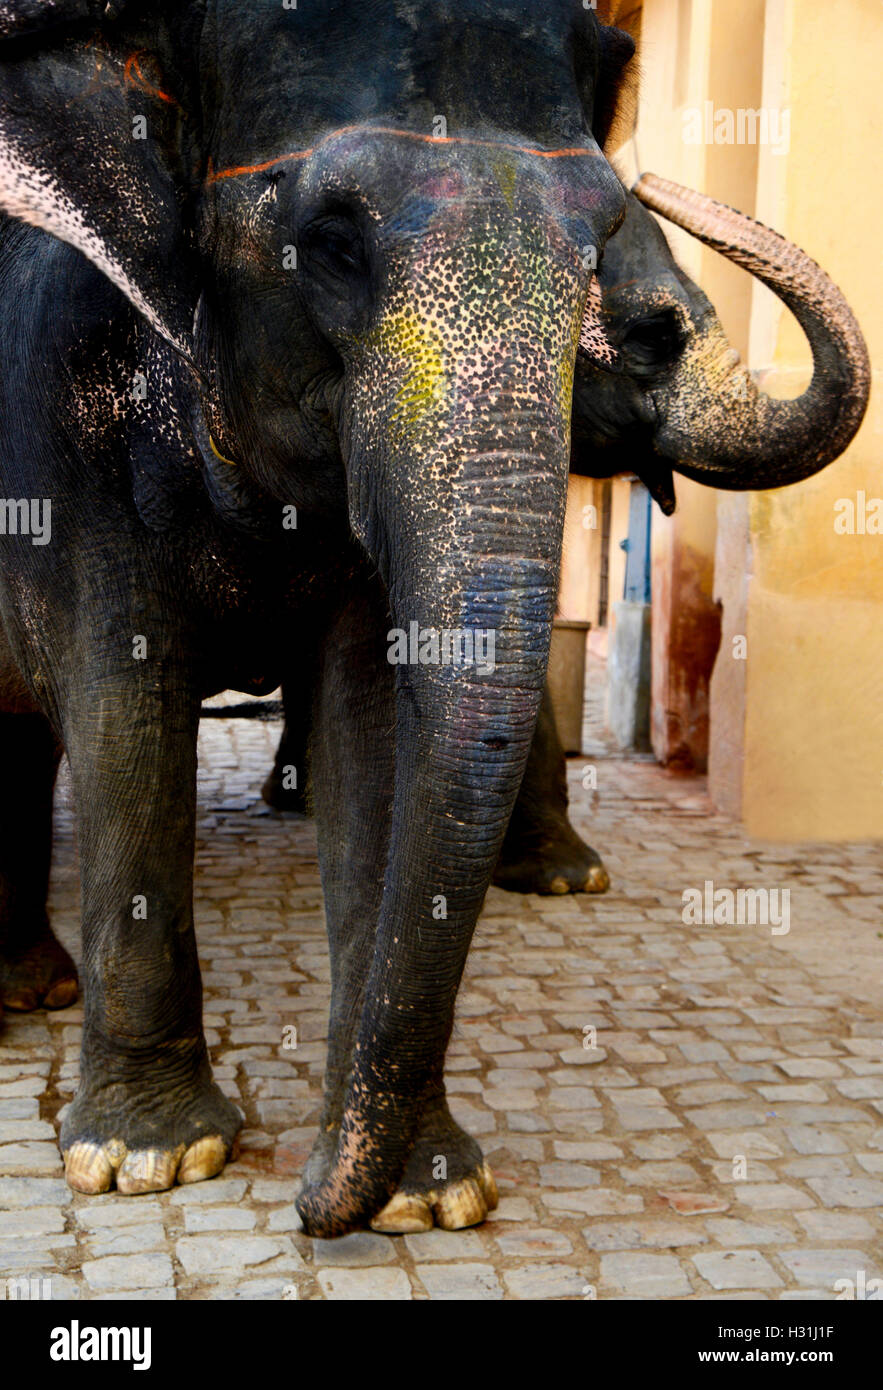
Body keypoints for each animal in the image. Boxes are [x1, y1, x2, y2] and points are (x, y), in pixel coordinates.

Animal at [0, 1, 868, 1240]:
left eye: (600, 236)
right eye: (330, 242)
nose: (310, 1204)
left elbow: (375, 719)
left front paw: (424, 1190)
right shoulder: (59, 414)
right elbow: (124, 714)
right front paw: (144, 1158)